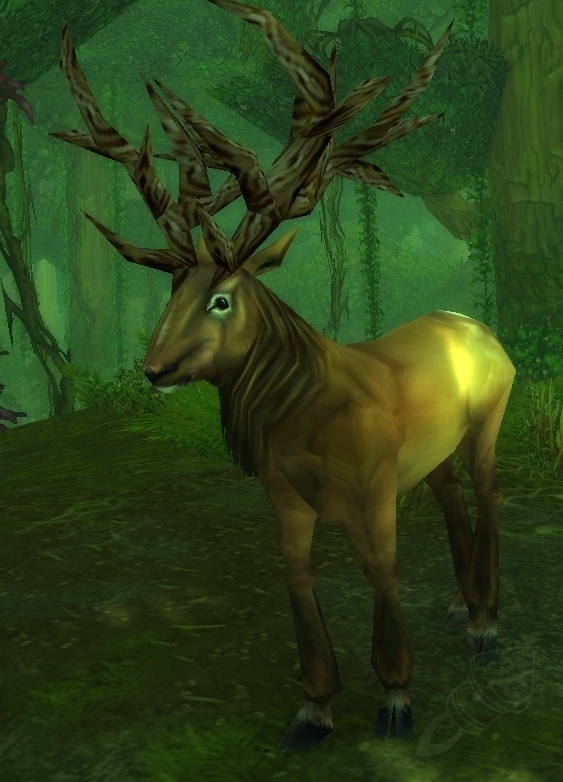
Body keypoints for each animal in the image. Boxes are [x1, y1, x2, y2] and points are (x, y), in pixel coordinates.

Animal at [50, 0, 516, 752]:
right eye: (172, 288)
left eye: (221, 298)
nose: (154, 368)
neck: (304, 422)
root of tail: (480, 326)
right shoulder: (284, 493)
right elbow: (297, 575)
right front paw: (314, 708)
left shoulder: (376, 484)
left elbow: (381, 568)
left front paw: (395, 697)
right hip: (433, 451)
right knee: (450, 495)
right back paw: (459, 604)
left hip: (489, 418)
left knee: (489, 491)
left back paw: (484, 624)